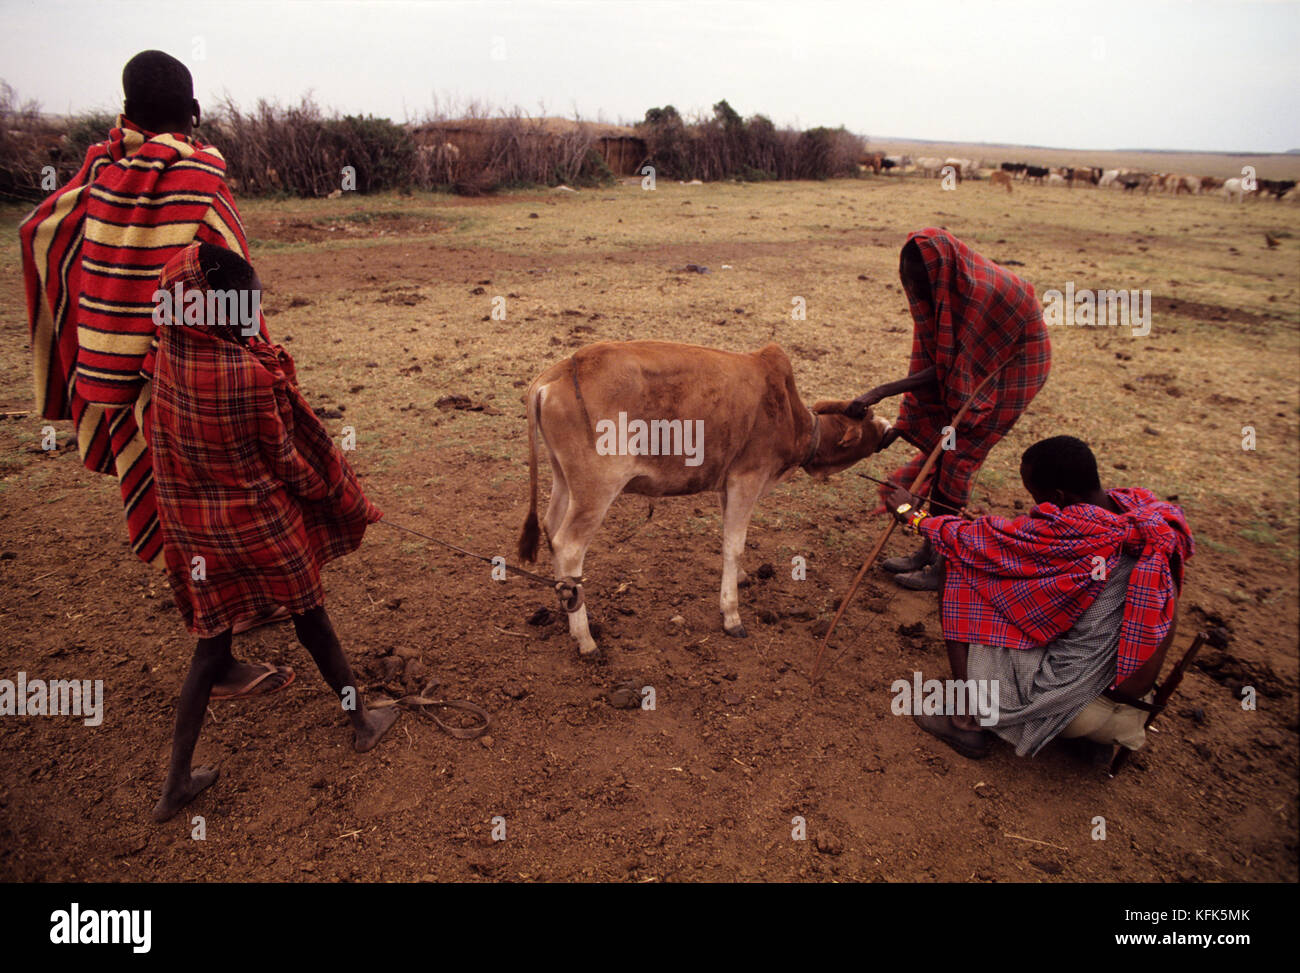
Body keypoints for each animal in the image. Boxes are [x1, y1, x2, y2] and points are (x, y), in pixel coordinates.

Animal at [517, 341, 893, 657]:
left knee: (550, 529)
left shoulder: (728, 486)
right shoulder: (746, 479)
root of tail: (564, 369)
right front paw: (731, 615)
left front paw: (740, 578)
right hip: (596, 490)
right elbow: (734, 546)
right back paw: (584, 637)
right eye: (868, 418)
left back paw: (567, 604)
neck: (789, 415)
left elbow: (730, 541)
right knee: (568, 546)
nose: (890, 430)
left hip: (564, 479)